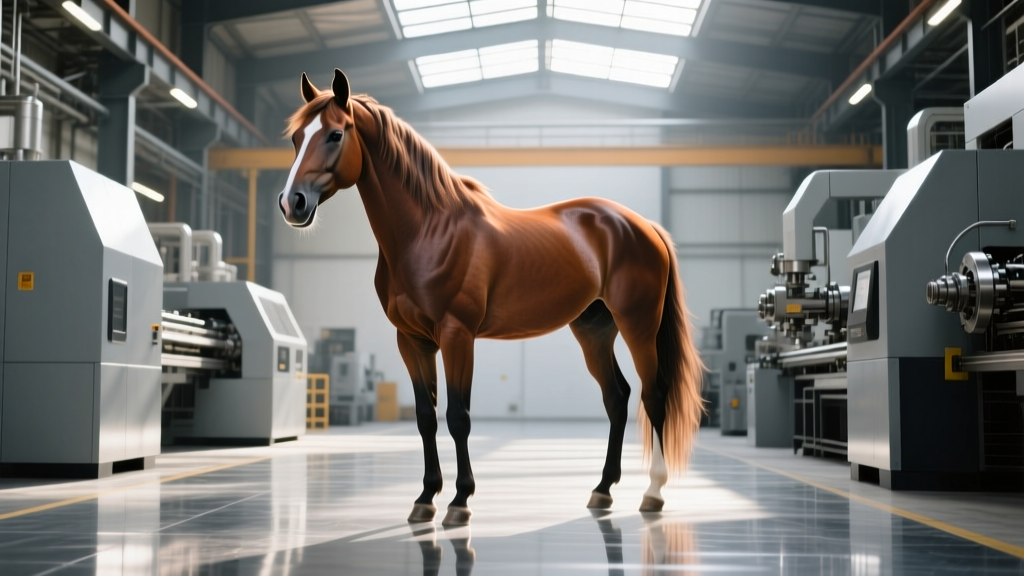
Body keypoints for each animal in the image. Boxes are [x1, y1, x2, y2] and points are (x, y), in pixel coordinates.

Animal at [278, 68, 705, 527]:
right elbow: (426, 418)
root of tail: (643, 225)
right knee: (618, 398)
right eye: (296, 136)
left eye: (336, 134)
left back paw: (653, 493)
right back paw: (602, 490)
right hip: (594, 330)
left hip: (638, 326)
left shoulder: (457, 335)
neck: (429, 232)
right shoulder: (411, 341)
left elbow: (458, 416)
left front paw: (460, 501)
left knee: (653, 395)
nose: (292, 203)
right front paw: (425, 498)